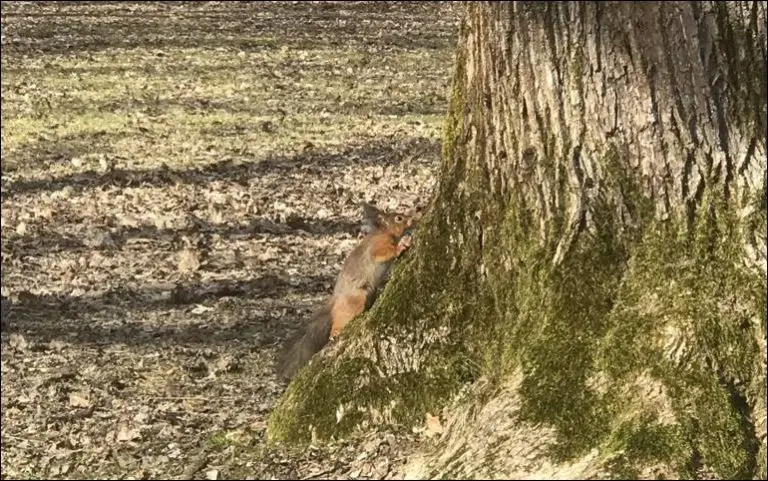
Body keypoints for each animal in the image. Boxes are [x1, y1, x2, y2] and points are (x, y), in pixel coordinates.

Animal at [276, 202, 420, 381]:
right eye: (398, 218)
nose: (413, 217)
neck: (383, 233)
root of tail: (336, 298)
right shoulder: (378, 247)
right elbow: (383, 254)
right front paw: (402, 245)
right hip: (355, 301)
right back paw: (336, 333)